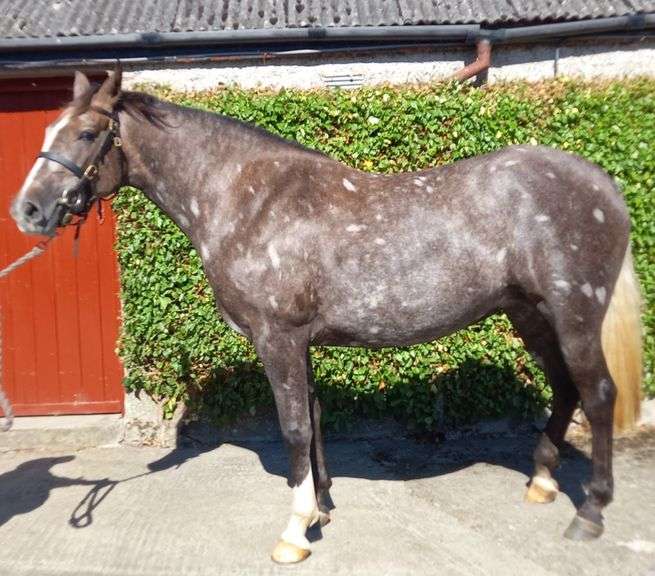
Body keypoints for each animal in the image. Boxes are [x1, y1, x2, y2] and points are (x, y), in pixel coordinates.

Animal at [10, 68, 643, 564]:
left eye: (87, 133)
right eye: (45, 131)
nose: (28, 211)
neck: (246, 200)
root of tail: (602, 184)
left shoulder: (279, 338)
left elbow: (292, 427)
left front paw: (294, 532)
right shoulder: (302, 342)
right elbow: (313, 420)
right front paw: (322, 509)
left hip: (574, 315)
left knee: (598, 394)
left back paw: (590, 512)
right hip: (530, 316)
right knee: (565, 388)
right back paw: (541, 483)